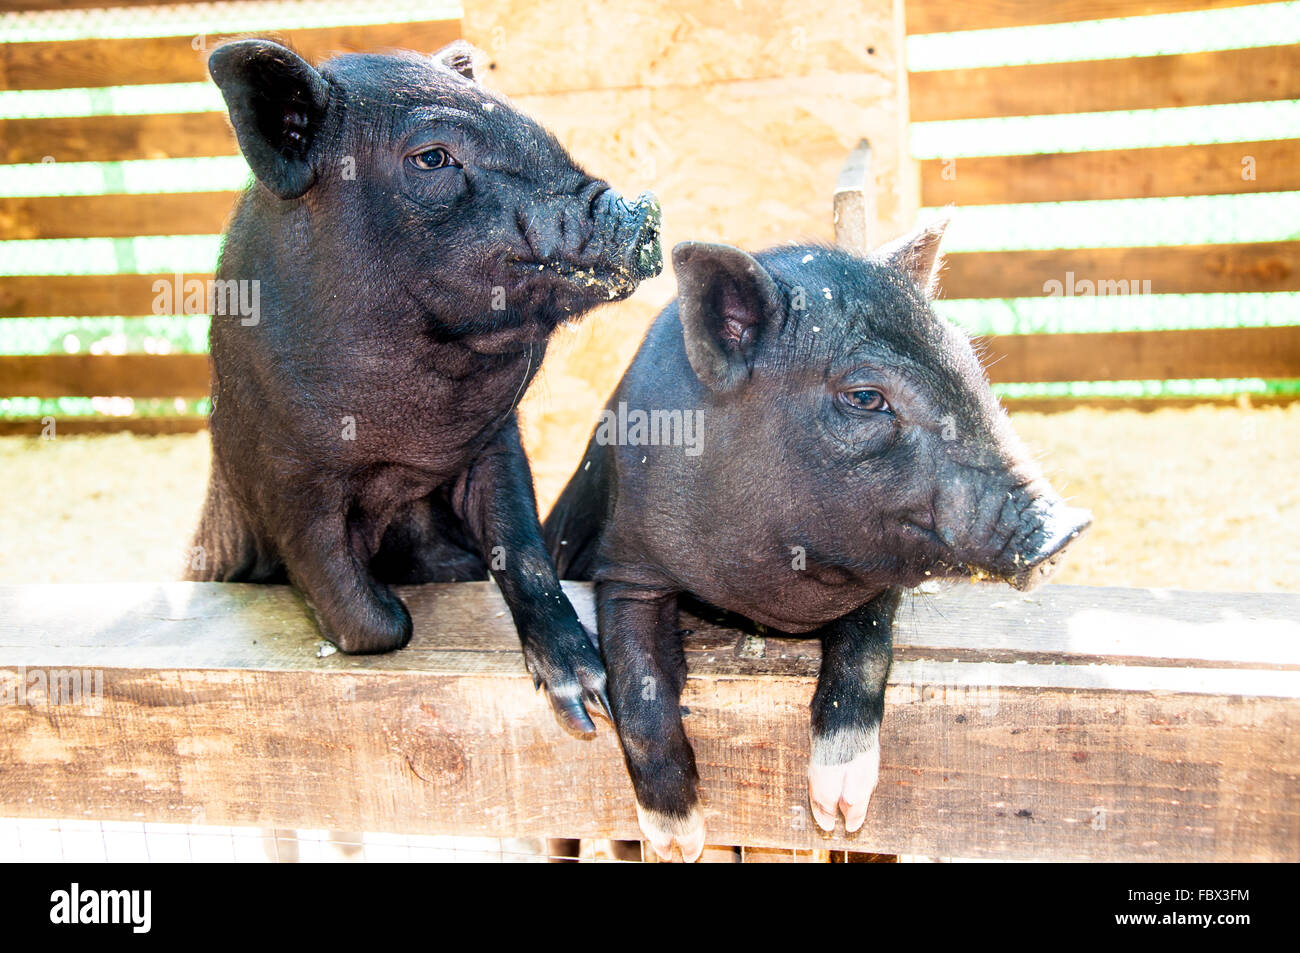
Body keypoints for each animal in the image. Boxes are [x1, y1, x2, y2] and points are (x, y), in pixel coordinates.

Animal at [186, 38, 661, 734]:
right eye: (432, 157)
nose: (643, 211)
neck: (406, 455)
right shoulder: (280, 478)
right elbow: (367, 618)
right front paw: (402, 602)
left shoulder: (494, 445)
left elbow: (524, 553)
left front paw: (587, 705)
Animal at [543, 221, 1090, 859]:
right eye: (865, 397)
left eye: (971, 368)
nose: (1070, 527)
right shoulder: (627, 564)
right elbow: (638, 678)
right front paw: (680, 838)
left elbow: (868, 648)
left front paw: (839, 813)